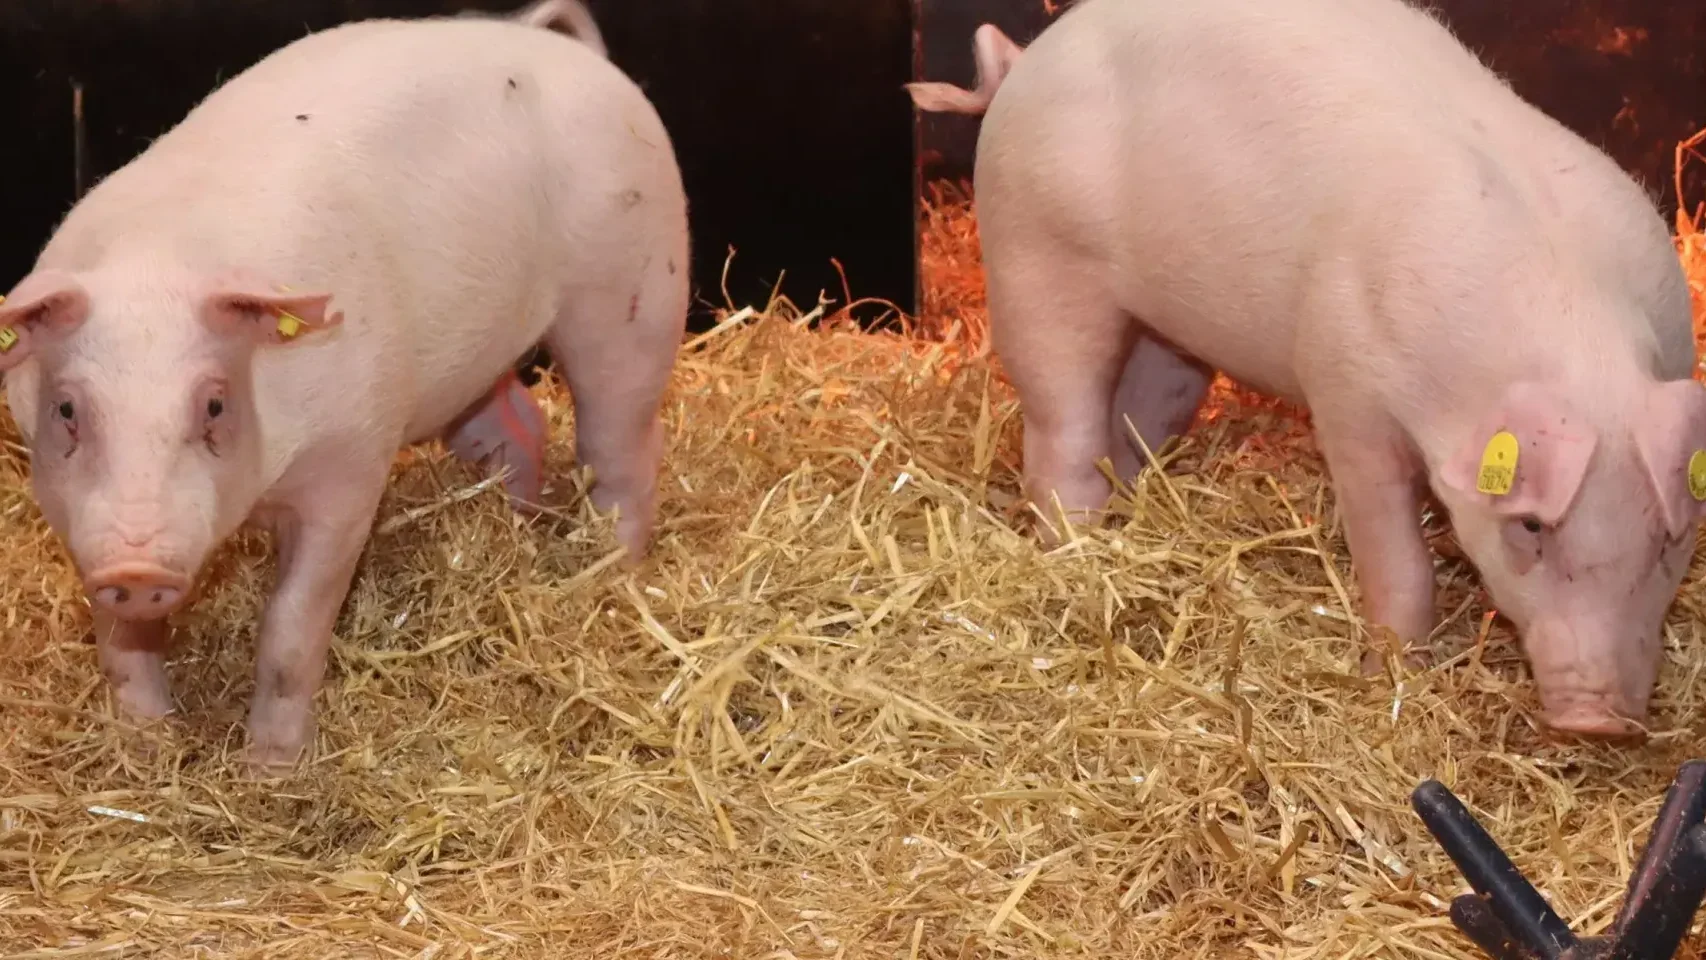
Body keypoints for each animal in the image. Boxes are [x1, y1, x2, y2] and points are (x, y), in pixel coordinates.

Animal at [0, 0, 689, 770]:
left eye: (214, 403)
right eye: (67, 409)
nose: (138, 569)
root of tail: (565, 49)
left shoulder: (351, 467)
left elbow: (292, 630)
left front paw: (272, 769)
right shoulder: (69, 509)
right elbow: (121, 643)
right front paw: (146, 744)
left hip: (634, 290)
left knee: (625, 445)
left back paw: (609, 570)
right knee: (518, 423)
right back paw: (519, 525)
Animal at [907, 0, 1704, 737]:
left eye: (1669, 540)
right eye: (1533, 526)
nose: (1599, 721)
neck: (1573, 332)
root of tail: (1027, 61)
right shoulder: (1348, 389)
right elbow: (1396, 559)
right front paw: (1389, 674)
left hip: (1167, 329)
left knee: (1139, 411)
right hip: (1034, 254)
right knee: (1060, 424)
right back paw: (1074, 550)